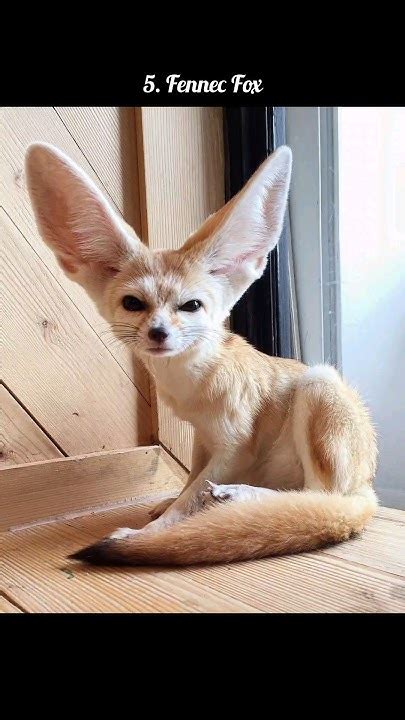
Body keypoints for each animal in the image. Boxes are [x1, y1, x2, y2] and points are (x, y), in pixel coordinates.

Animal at [25, 142, 378, 566]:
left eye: (190, 306)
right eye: (133, 304)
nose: (158, 333)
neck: (190, 384)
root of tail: (367, 489)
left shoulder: (235, 446)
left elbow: (190, 500)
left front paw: (153, 532)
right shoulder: (201, 436)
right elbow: (190, 482)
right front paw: (170, 504)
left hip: (319, 385)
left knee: (321, 495)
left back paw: (241, 496)